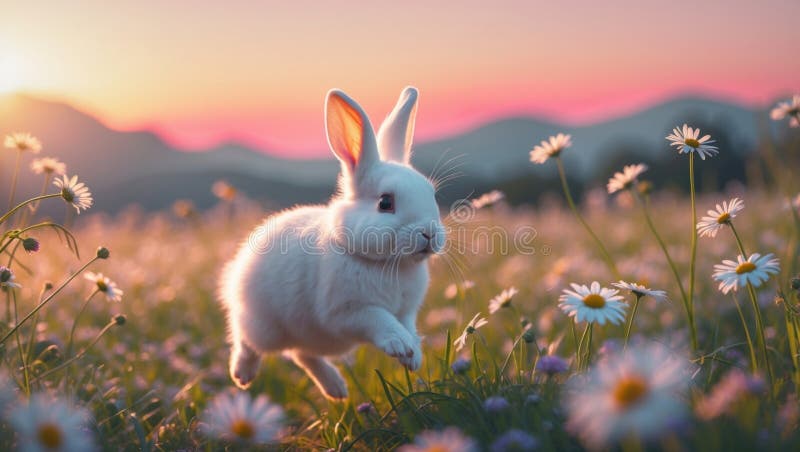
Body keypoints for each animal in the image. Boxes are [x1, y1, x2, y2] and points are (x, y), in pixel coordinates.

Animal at [219, 87, 446, 400]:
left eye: (431, 194)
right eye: (385, 203)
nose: (429, 234)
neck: (388, 263)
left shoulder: (407, 312)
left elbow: (408, 326)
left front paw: (414, 358)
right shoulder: (347, 312)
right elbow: (379, 318)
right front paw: (400, 345)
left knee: (301, 354)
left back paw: (336, 389)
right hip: (265, 327)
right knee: (248, 341)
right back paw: (242, 374)